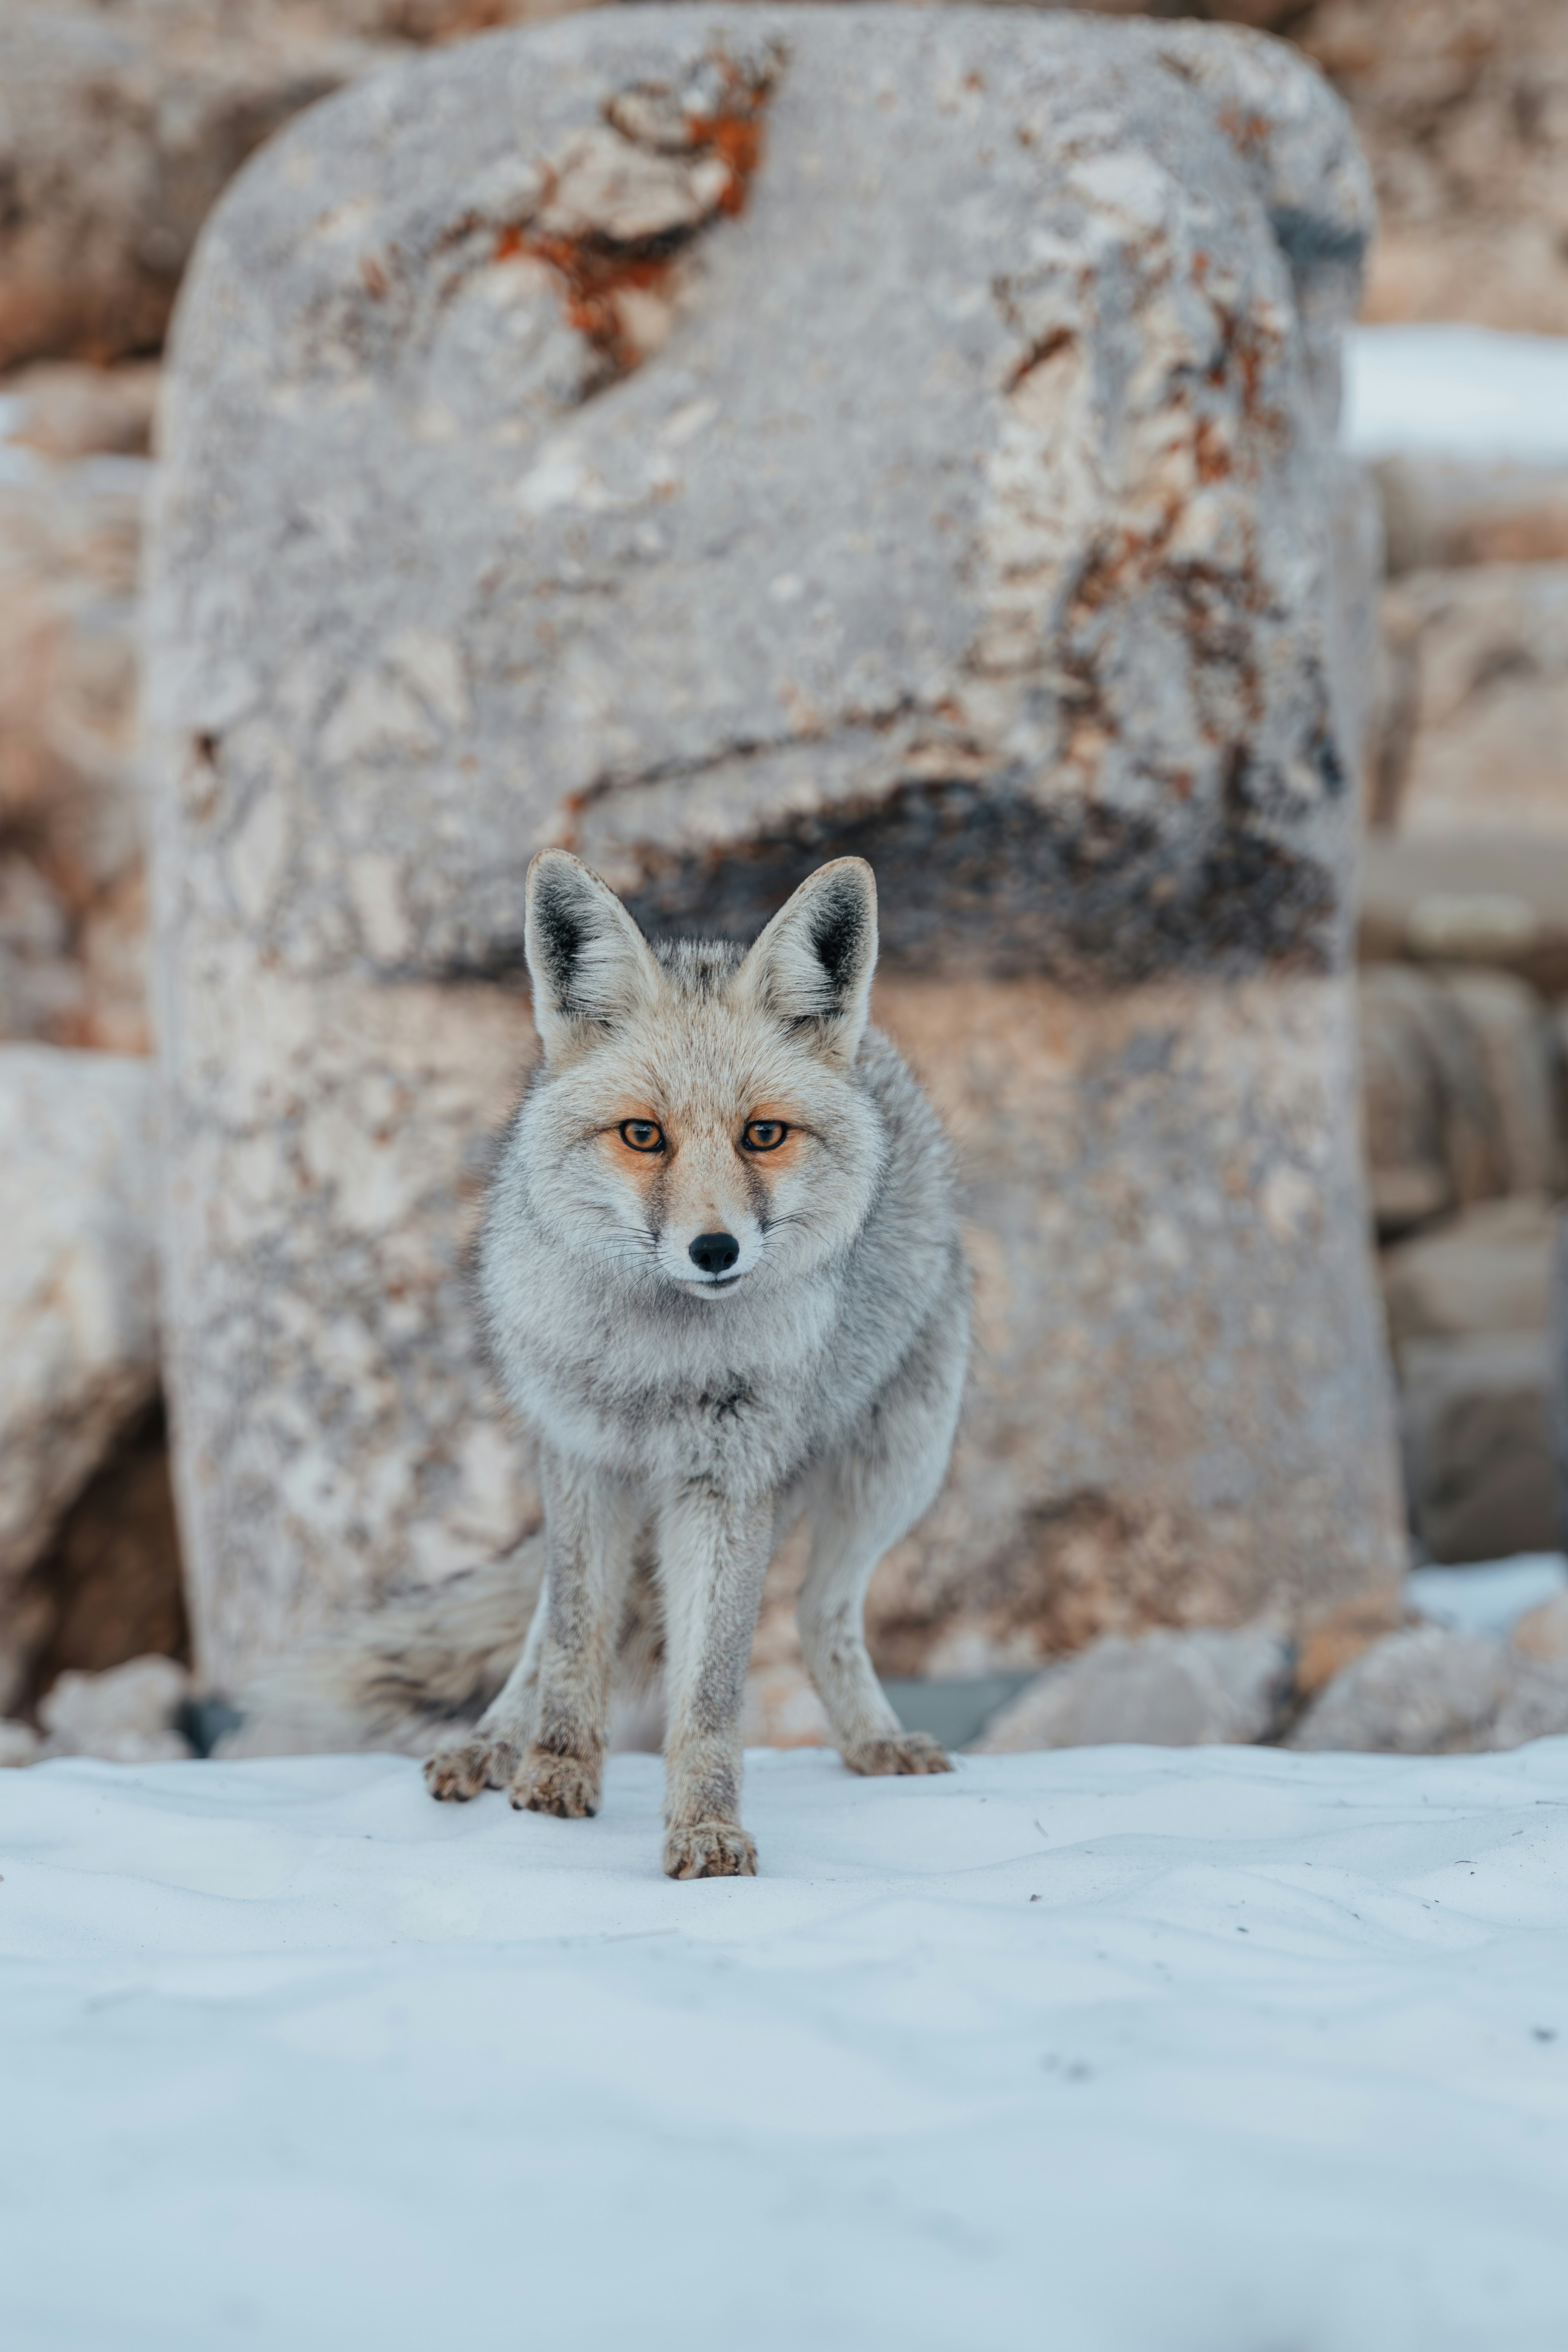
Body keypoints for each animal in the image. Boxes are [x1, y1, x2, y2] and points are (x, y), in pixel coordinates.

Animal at [248, 852, 970, 1878]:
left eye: (762, 1135)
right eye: (643, 1135)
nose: (714, 1250)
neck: (655, 1368)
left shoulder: (726, 1480)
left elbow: (708, 1693)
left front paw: (704, 1827)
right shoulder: (585, 1459)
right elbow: (573, 1641)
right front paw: (552, 1776)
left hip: (895, 1472)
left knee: (817, 1614)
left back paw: (875, 1740)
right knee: (543, 1626)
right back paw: (490, 1745)